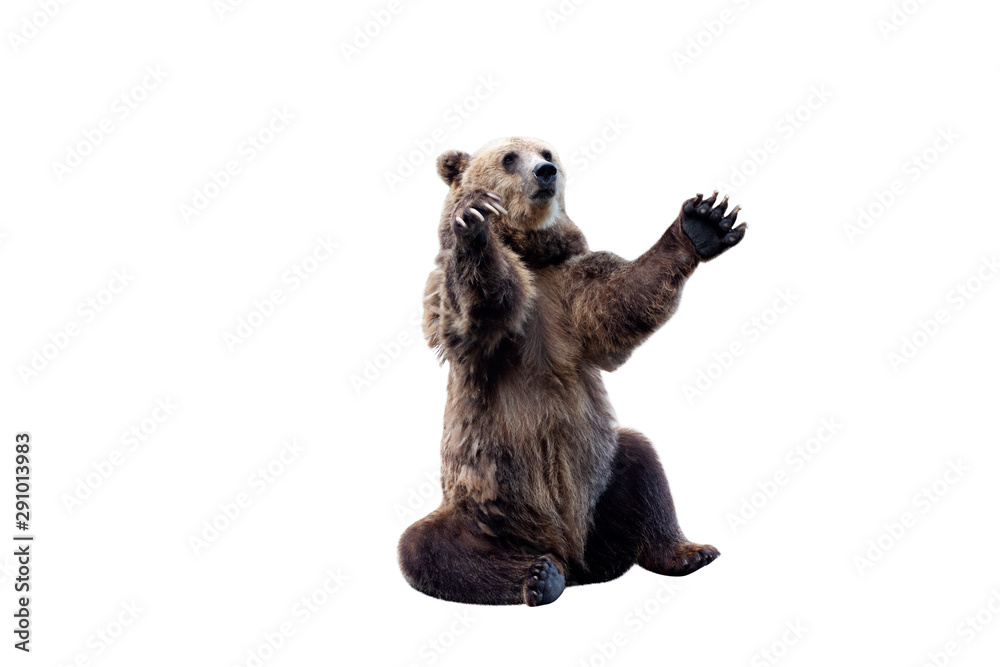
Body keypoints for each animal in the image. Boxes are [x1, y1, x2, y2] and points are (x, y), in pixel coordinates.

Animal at [398, 136, 746, 606]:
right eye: (509, 157)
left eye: (547, 152)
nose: (545, 172)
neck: (529, 252)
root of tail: (575, 556)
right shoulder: (455, 301)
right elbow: (473, 311)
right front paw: (474, 219)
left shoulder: (570, 284)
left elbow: (618, 301)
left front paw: (703, 221)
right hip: (481, 507)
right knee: (430, 550)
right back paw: (539, 577)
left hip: (601, 479)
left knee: (642, 462)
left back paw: (687, 552)